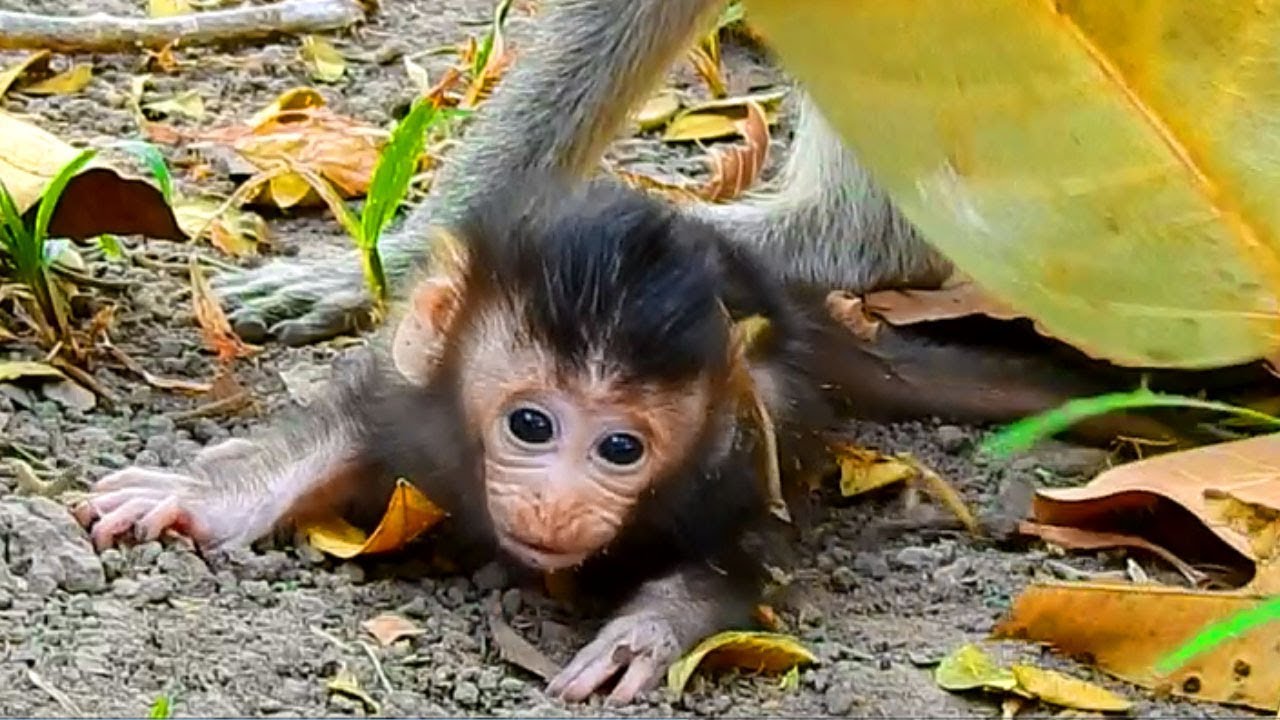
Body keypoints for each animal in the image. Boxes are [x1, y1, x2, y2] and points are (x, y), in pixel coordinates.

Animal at [74, 179, 836, 705]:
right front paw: (208, 495)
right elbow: (343, 434)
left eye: (622, 449)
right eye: (531, 425)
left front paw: (641, 637)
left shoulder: (733, 471)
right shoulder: (418, 406)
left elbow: (743, 570)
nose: (558, 504)